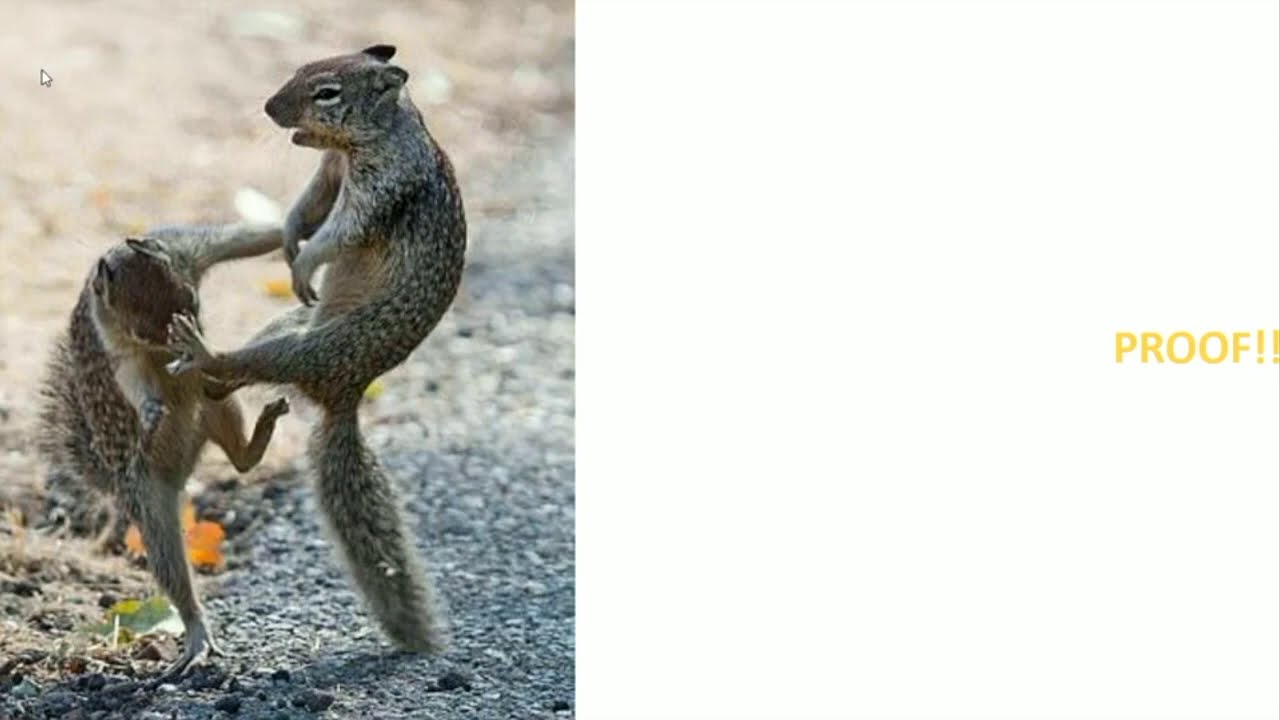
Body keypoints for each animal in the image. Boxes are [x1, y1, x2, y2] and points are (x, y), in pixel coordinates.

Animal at [37, 223, 291, 680]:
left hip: (216, 407)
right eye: (140, 331)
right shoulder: (119, 350)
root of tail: (179, 472)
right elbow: (134, 382)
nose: (183, 349)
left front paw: (293, 229)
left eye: (193, 303)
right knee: (172, 569)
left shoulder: (188, 248)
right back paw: (197, 636)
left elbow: (248, 237)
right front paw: (150, 410)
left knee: (238, 450)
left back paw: (257, 428)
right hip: (148, 501)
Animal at [166, 45, 467, 653]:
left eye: (327, 92)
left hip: (311, 347)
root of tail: (345, 394)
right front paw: (287, 239)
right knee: (250, 370)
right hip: (288, 321)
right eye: (299, 69)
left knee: (258, 364)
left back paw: (206, 356)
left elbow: (338, 232)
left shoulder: (380, 191)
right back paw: (212, 382)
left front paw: (304, 261)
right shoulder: (329, 172)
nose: (268, 107)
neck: (372, 139)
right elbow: (308, 207)